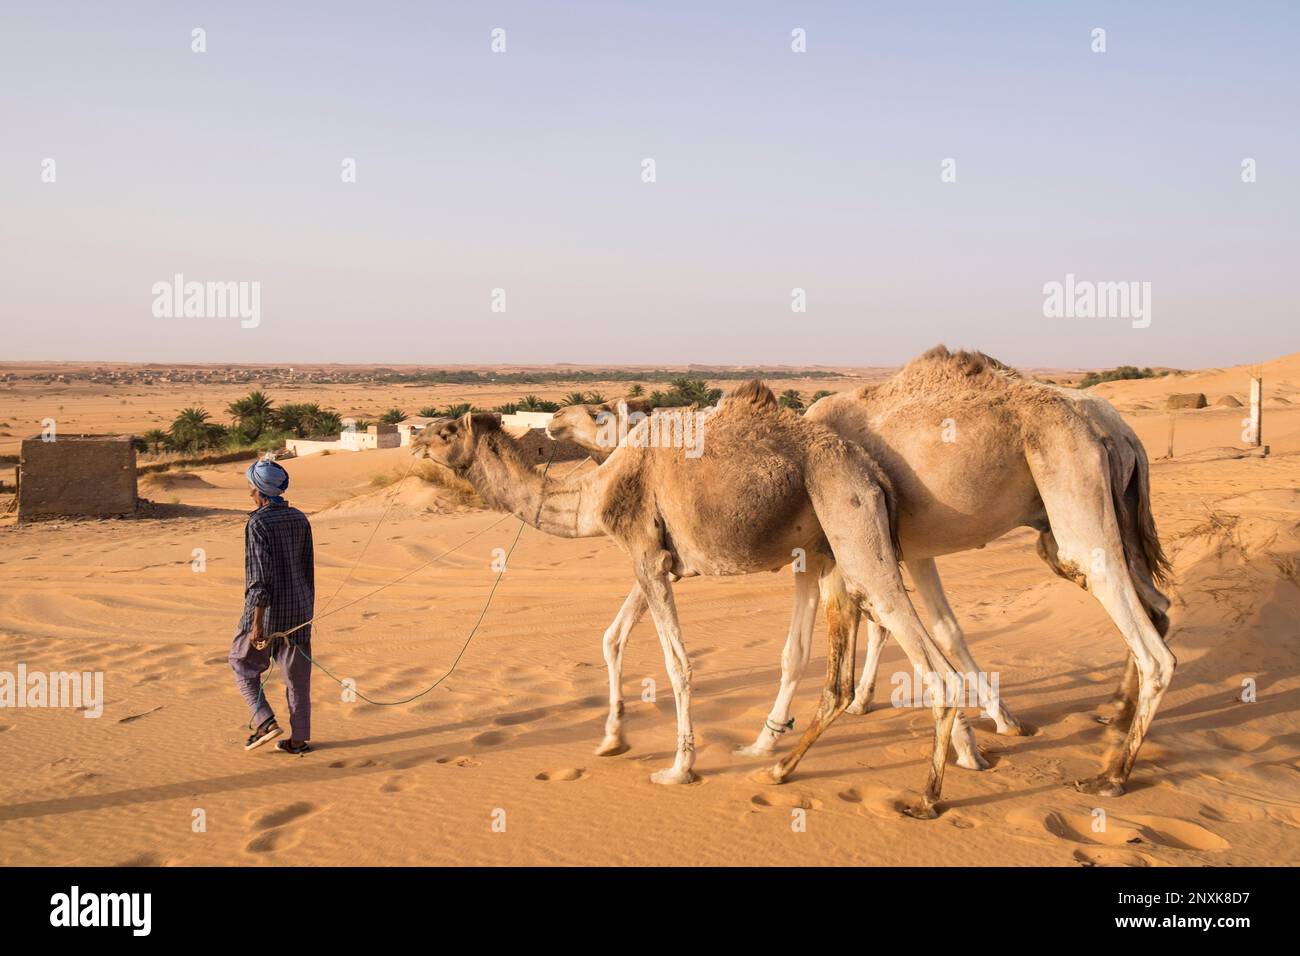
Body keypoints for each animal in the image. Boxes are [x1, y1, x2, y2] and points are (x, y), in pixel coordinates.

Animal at [414, 381, 964, 817]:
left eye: (446, 431)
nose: (416, 438)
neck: (594, 492)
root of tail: (873, 472)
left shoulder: (645, 552)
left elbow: (677, 664)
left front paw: (679, 768)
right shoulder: (659, 561)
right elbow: (612, 637)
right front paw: (612, 739)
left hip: (851, 521)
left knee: (924, 653)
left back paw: (928, 797)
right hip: (826, 546)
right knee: (844, 665)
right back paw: (780, 767)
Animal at [549, 347, 1172, 797]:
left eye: (597, 414)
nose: (554, 419)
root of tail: (1119, 430)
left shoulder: (858, 541)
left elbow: (882, 631)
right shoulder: (904, 544)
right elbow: (923, 628)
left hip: (1070, 490)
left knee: (1125, 603)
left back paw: (1113, 772)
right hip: (1085, 519)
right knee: (1156, 604)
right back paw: (1116, 718)